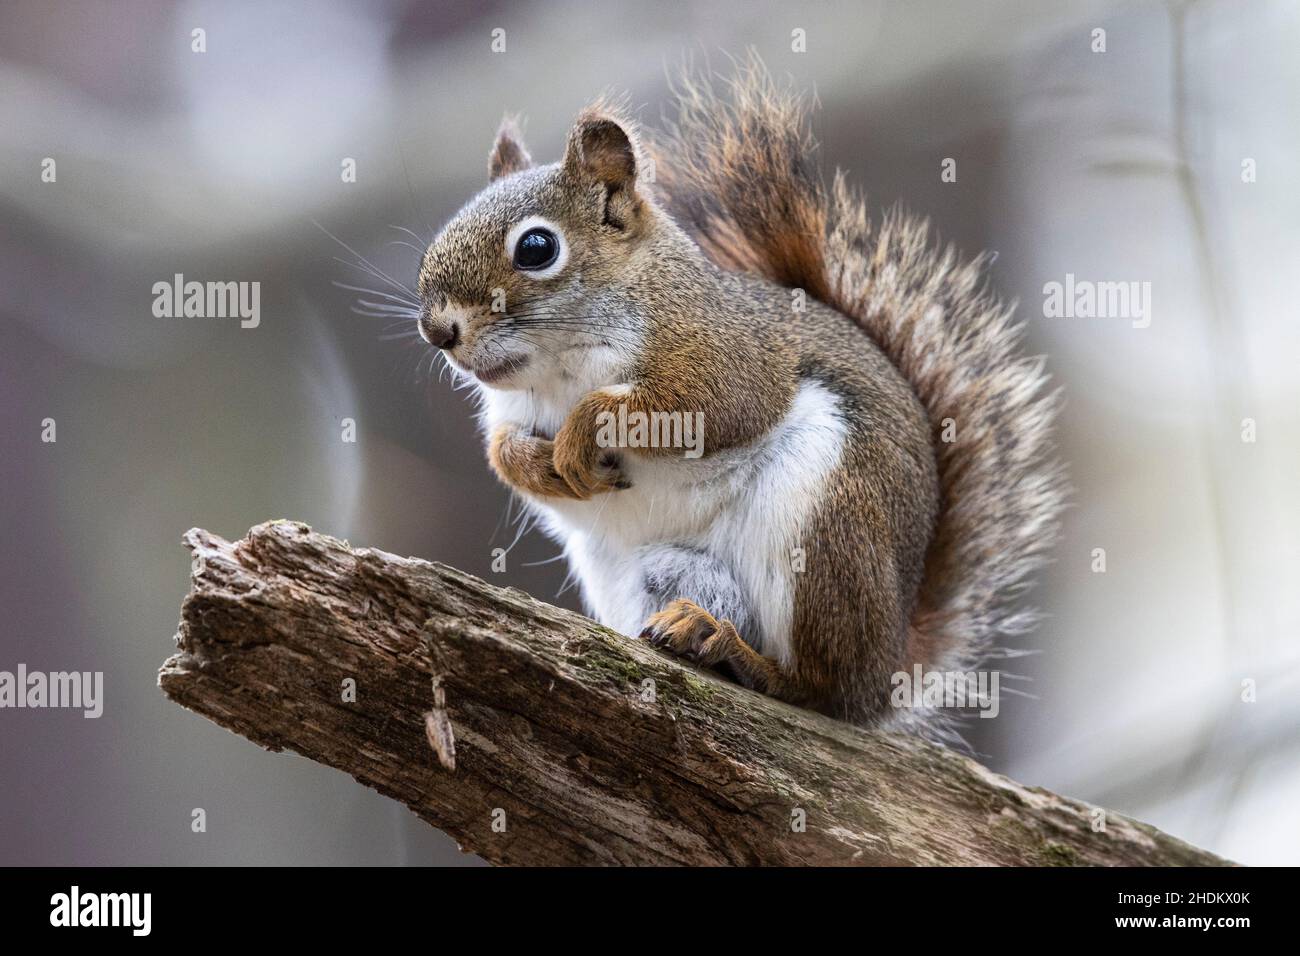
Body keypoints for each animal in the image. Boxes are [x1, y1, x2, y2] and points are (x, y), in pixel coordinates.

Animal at [415, 58, 1065, 733]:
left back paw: (740, 654)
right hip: (656, 571)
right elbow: (500, 450)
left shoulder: (727, 349)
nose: (437, 330)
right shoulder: (511, 408)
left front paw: (580, 433)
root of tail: (890, 669)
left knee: (825, 691)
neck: (556, 372)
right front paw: (536, 464)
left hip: (822, 525)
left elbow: (715, 405)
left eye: (537, 248)